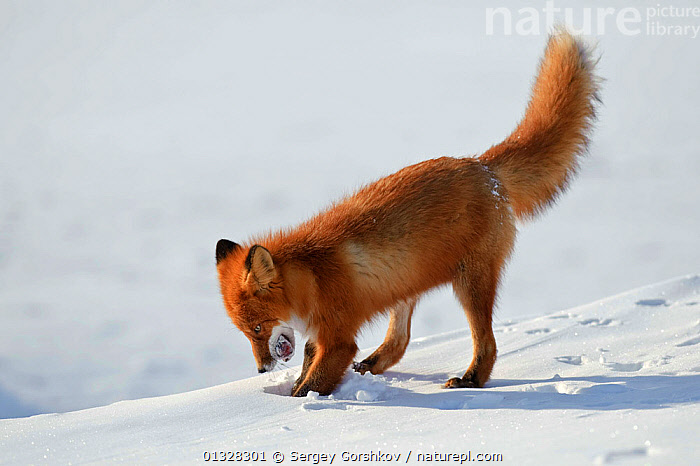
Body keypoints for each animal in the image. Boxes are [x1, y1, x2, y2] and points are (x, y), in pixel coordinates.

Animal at [216, 30, 599, 397]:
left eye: (257, 328)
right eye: (246, 332)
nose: (261, 370)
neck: (312, 278)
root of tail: (482, 167)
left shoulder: (339, 338)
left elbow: (312, 384)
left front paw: (303, 402)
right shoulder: (318, 336)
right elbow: (307, 368)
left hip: (469, 284)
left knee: (487, 344)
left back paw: (470, 381)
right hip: (405, 286)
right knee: (400, 342)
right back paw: (372, 366)